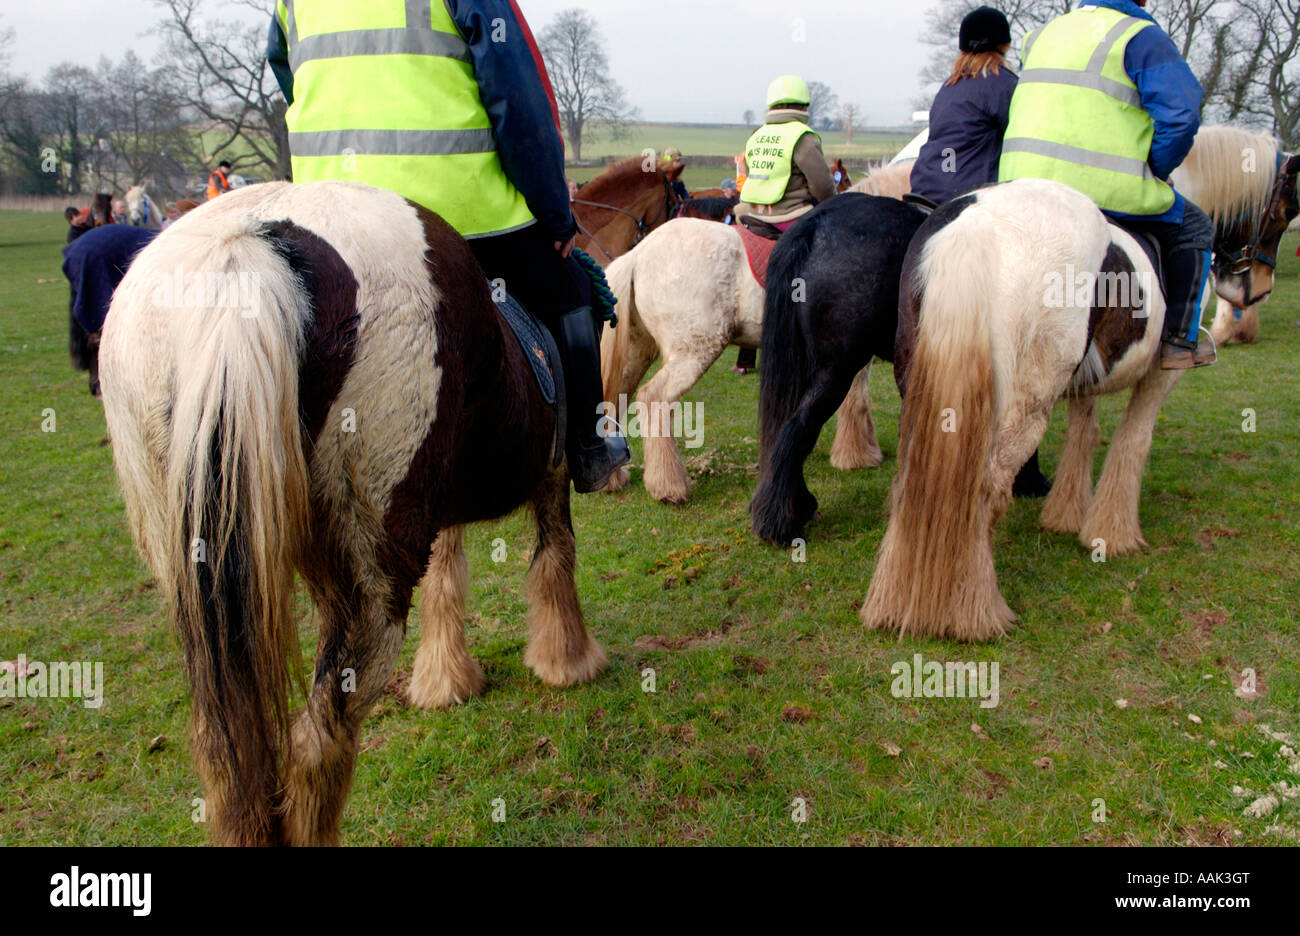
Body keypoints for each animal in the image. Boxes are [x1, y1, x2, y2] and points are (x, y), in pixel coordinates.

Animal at [99, 180, 607, 845]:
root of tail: (245, 246)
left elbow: (447, 577)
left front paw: (444, 680)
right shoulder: (551, 473)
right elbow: (554, 557)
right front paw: (566, 660)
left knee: (227, 758)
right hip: (368, 578)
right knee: (319, 740)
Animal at [862, 146, 1298, 642]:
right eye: (1287, 208)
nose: (1258, 289)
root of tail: (975, 224)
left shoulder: (1085, 379)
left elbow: (1084, 433)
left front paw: (1067, 514)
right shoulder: (1160, 377)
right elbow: (1133, 441)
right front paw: (1112, 532)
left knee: (912, 487)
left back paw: (898, 600)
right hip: (1023, 408)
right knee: (986, 491)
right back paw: (975, 612)